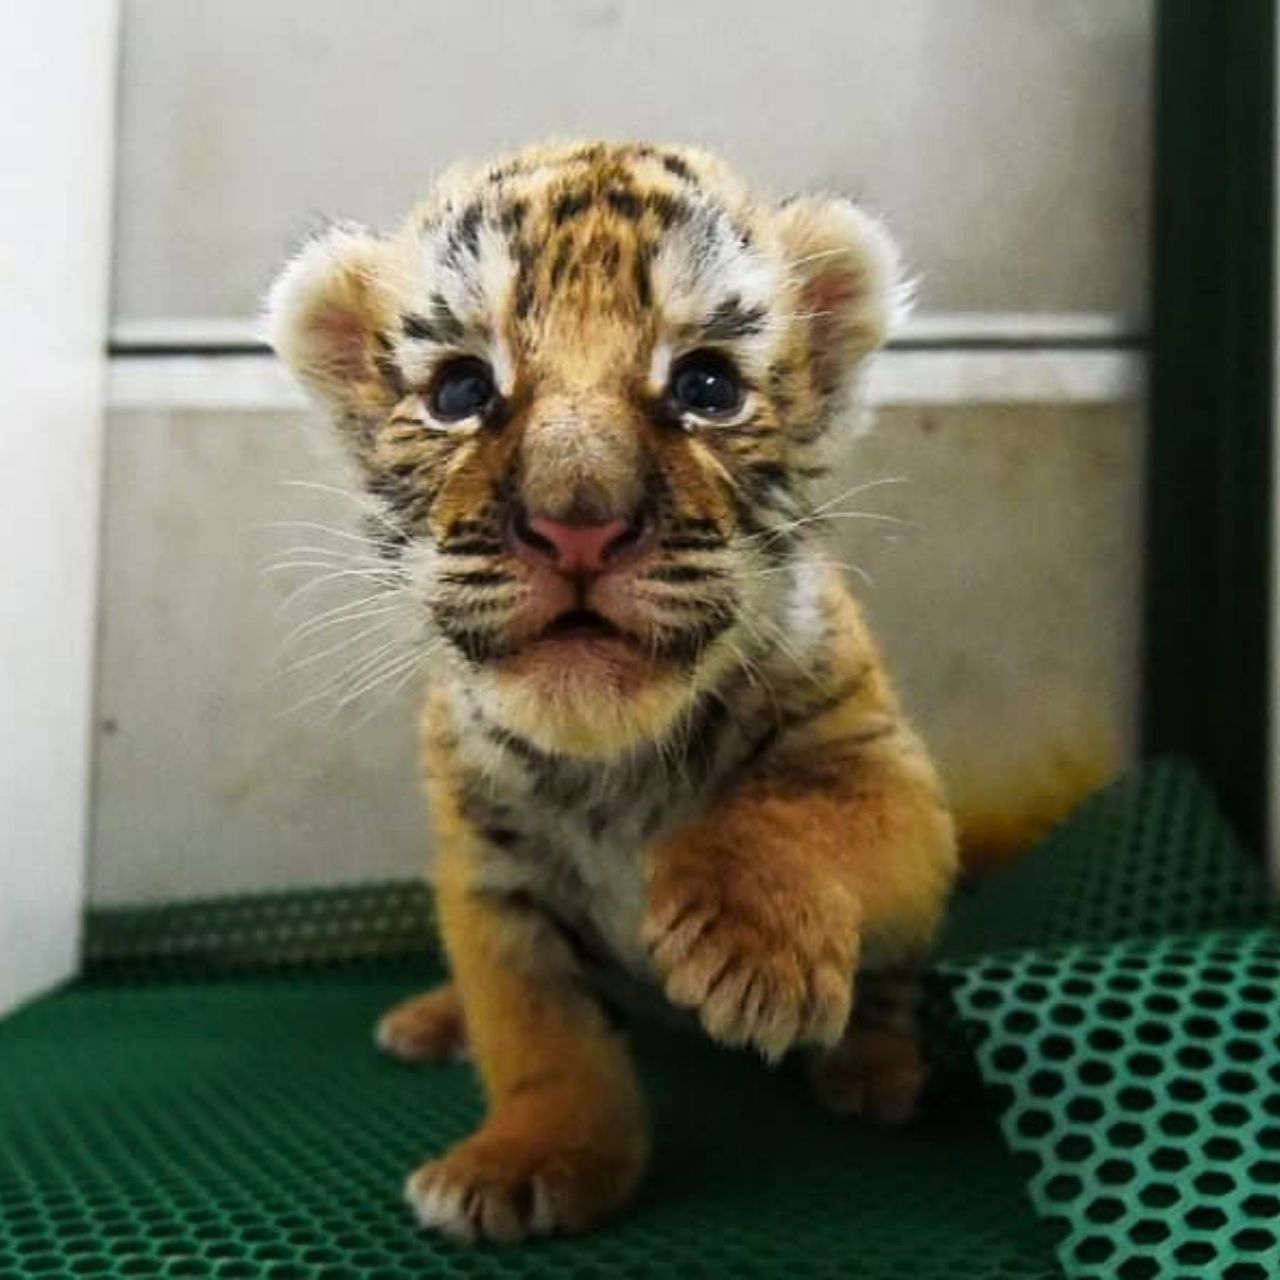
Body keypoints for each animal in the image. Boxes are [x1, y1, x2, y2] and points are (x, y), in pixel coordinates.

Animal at [266, 139, 958, 1244]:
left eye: (707, 385)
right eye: (462, 390)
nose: (577, 521)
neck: (612, 761)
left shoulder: (888, 771)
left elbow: (801, 813)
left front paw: (746, 947)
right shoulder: (492, 877)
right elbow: (541, 1037)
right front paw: (528, 1160)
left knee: (889, 985)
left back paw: (875, 1072)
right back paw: (428, 1021)